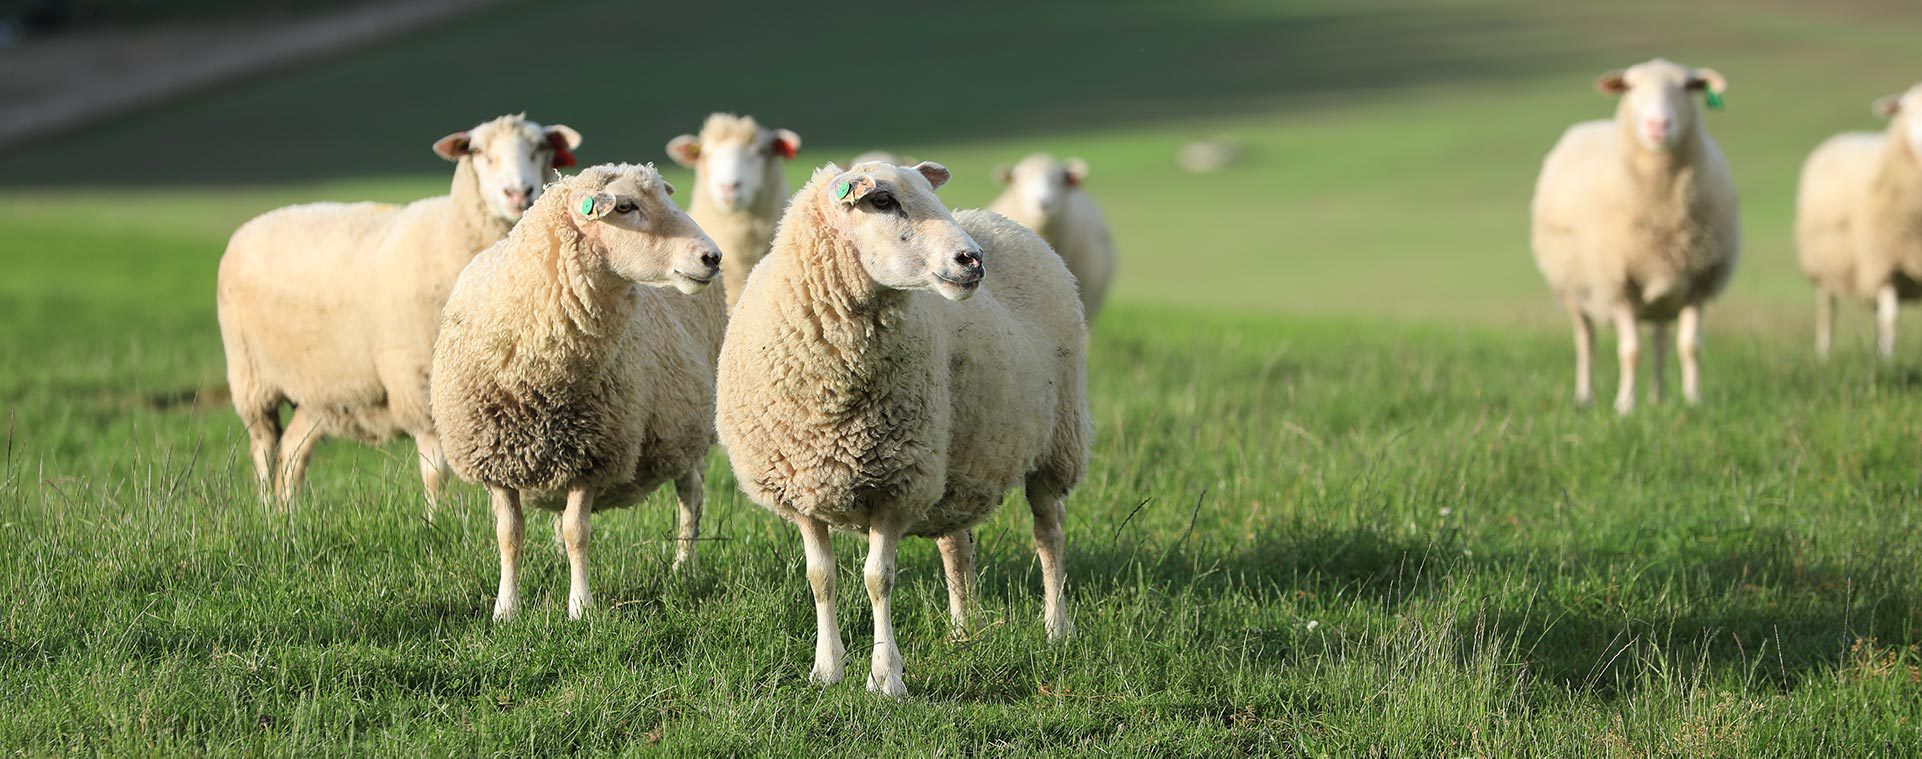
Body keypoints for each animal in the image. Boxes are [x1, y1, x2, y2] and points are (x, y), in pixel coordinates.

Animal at [218, 114, 582, 511]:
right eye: (478, 151)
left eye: (540, 148)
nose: (518, 193)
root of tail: (251, 224)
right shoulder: (416, 380)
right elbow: (436, 471)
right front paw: (437, 518)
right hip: (251, 376)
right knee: (263, 447)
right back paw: (267, 509)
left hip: (320, 391)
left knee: (293, 450)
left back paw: (288, 512)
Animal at [429, 163, 725, 621]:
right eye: (625, 206)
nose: (712, 256)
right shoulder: (496, 460)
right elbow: (508, 535)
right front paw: (506, 609)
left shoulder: (593, 453)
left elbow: (577, 532)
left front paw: (580, 607)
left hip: (687, 431)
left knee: (690, 498)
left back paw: (683, 566)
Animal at [715, 161, 1090, 698]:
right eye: (882, 201)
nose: (972, 259)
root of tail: (1000, 221)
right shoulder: (801, 486)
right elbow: (820, 577)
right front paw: (827, 669)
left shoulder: (894, 485)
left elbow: (879, 579)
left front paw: (886, 677)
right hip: (955, 461)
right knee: (956, 546)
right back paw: (963, 631)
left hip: (1057, 441)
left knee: (1049, 533)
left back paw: (1056, 628)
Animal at [1530, 59, 1740, 415]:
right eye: (1631, 87)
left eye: (1687, 86)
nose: (1658, 125)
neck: (1662, 204)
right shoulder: (1618, 285)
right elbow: (1630, 351)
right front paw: (1625, 406)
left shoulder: (1698, 283)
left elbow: (1690, 347)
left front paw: (1693, 401)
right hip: (1573, 291)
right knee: (1586, 342)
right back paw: (1585, 398)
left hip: (1662, 292)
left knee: (1660, 341)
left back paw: (1658, 397)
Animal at [1796, 84, 1922, 358]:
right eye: (1905, 110)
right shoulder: (1885, 262)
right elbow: (1890, 320)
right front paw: (1888, 362)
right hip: (1825, 267)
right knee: (1828, 313)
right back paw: (1824, 355)